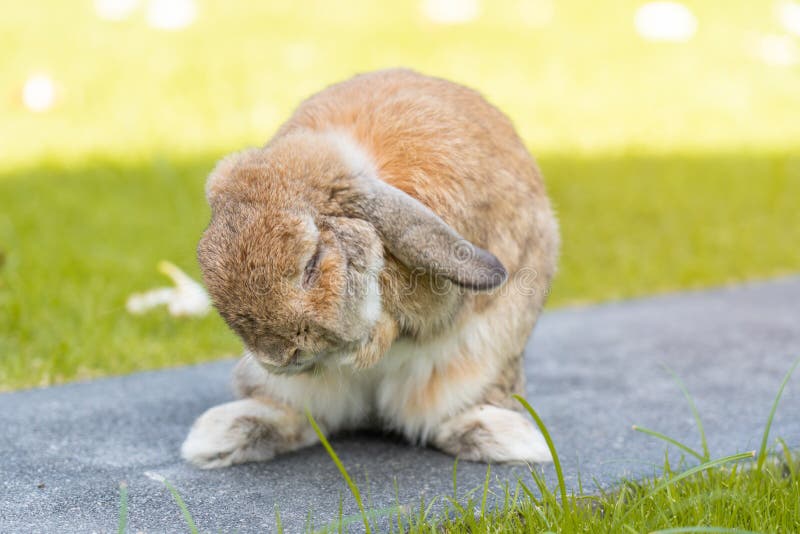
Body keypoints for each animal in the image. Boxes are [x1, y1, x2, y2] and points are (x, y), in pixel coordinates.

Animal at [181, 69, 559, 469]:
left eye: (312, 262)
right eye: (207, 255)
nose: (277, 357)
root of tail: (372, 411)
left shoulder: (433, 302)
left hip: (480, 369)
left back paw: (508, 439)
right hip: (284, 388)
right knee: (308, 420)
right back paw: (221, 435)